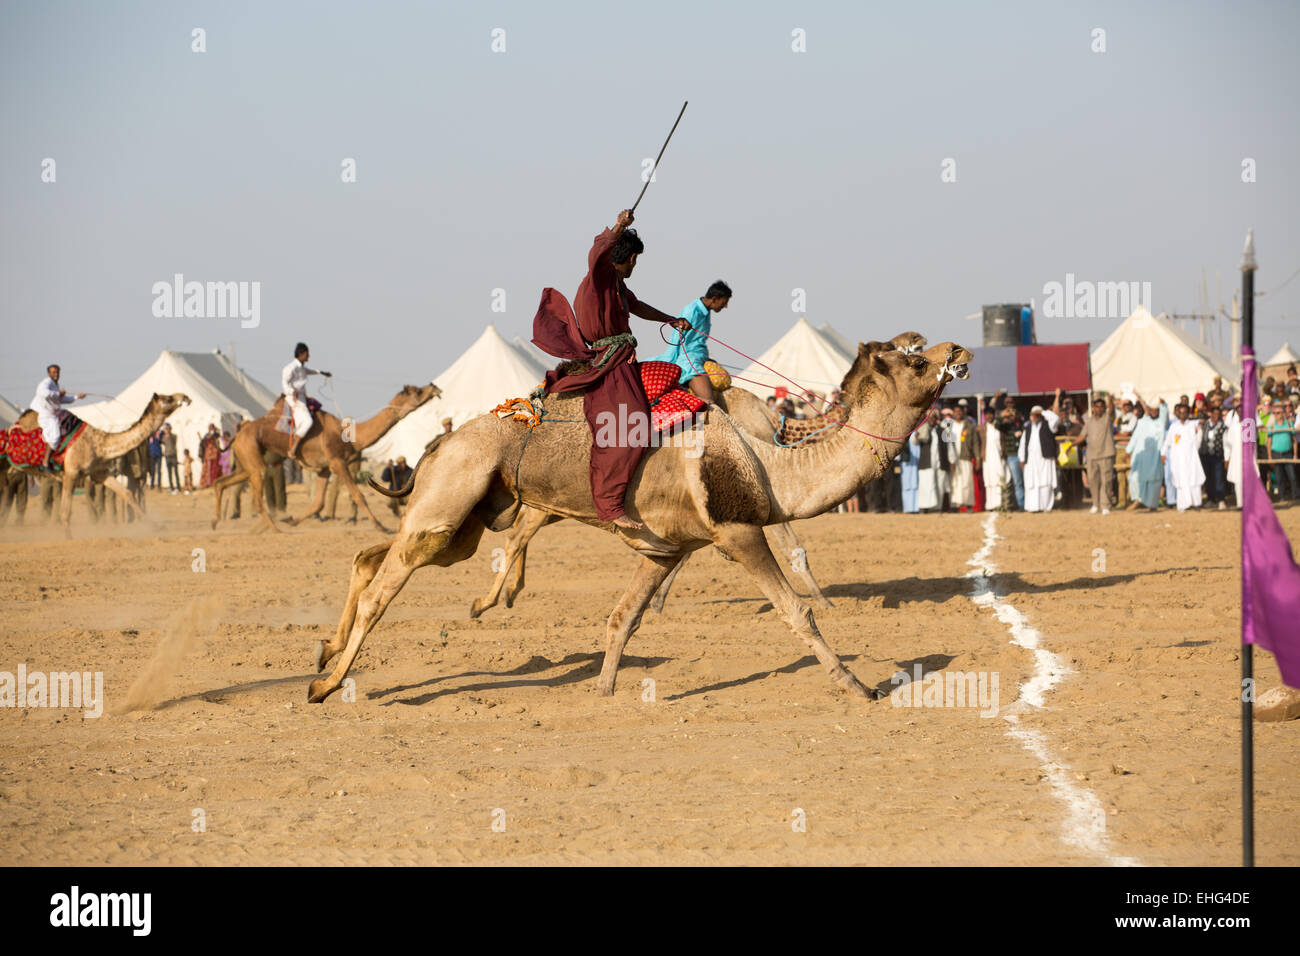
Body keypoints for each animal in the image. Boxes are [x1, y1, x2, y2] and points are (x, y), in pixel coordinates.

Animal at [3, 393, 191, 535]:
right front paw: (69, 540)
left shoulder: (99, 473)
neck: (98, 444)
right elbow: (65, 513)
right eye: (168, 399)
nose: (185, 397)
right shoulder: (71, 473)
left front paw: (156, 526)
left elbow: (127, 493)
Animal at [209, 383, 440, 535]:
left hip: (245, 461)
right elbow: (358, 495)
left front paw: (292, 520)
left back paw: (216, 522)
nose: (434, 386)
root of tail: (237, 435)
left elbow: (318, 503)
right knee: (257, 498)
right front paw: (381, 527)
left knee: (221, 481)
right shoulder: (337, 461)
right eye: (417, 390)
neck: (350, 436)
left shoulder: (324, 468)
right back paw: (275, 528)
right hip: (253, 457)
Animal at [466, 332, 929, 619]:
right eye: (891, 348)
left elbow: (688, 550)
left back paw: (507, 595)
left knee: (523, 529)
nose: (921, 340)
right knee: (519, 533)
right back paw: (485, 602)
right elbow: (793, 547)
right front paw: (824, 602)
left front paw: (657, 600)